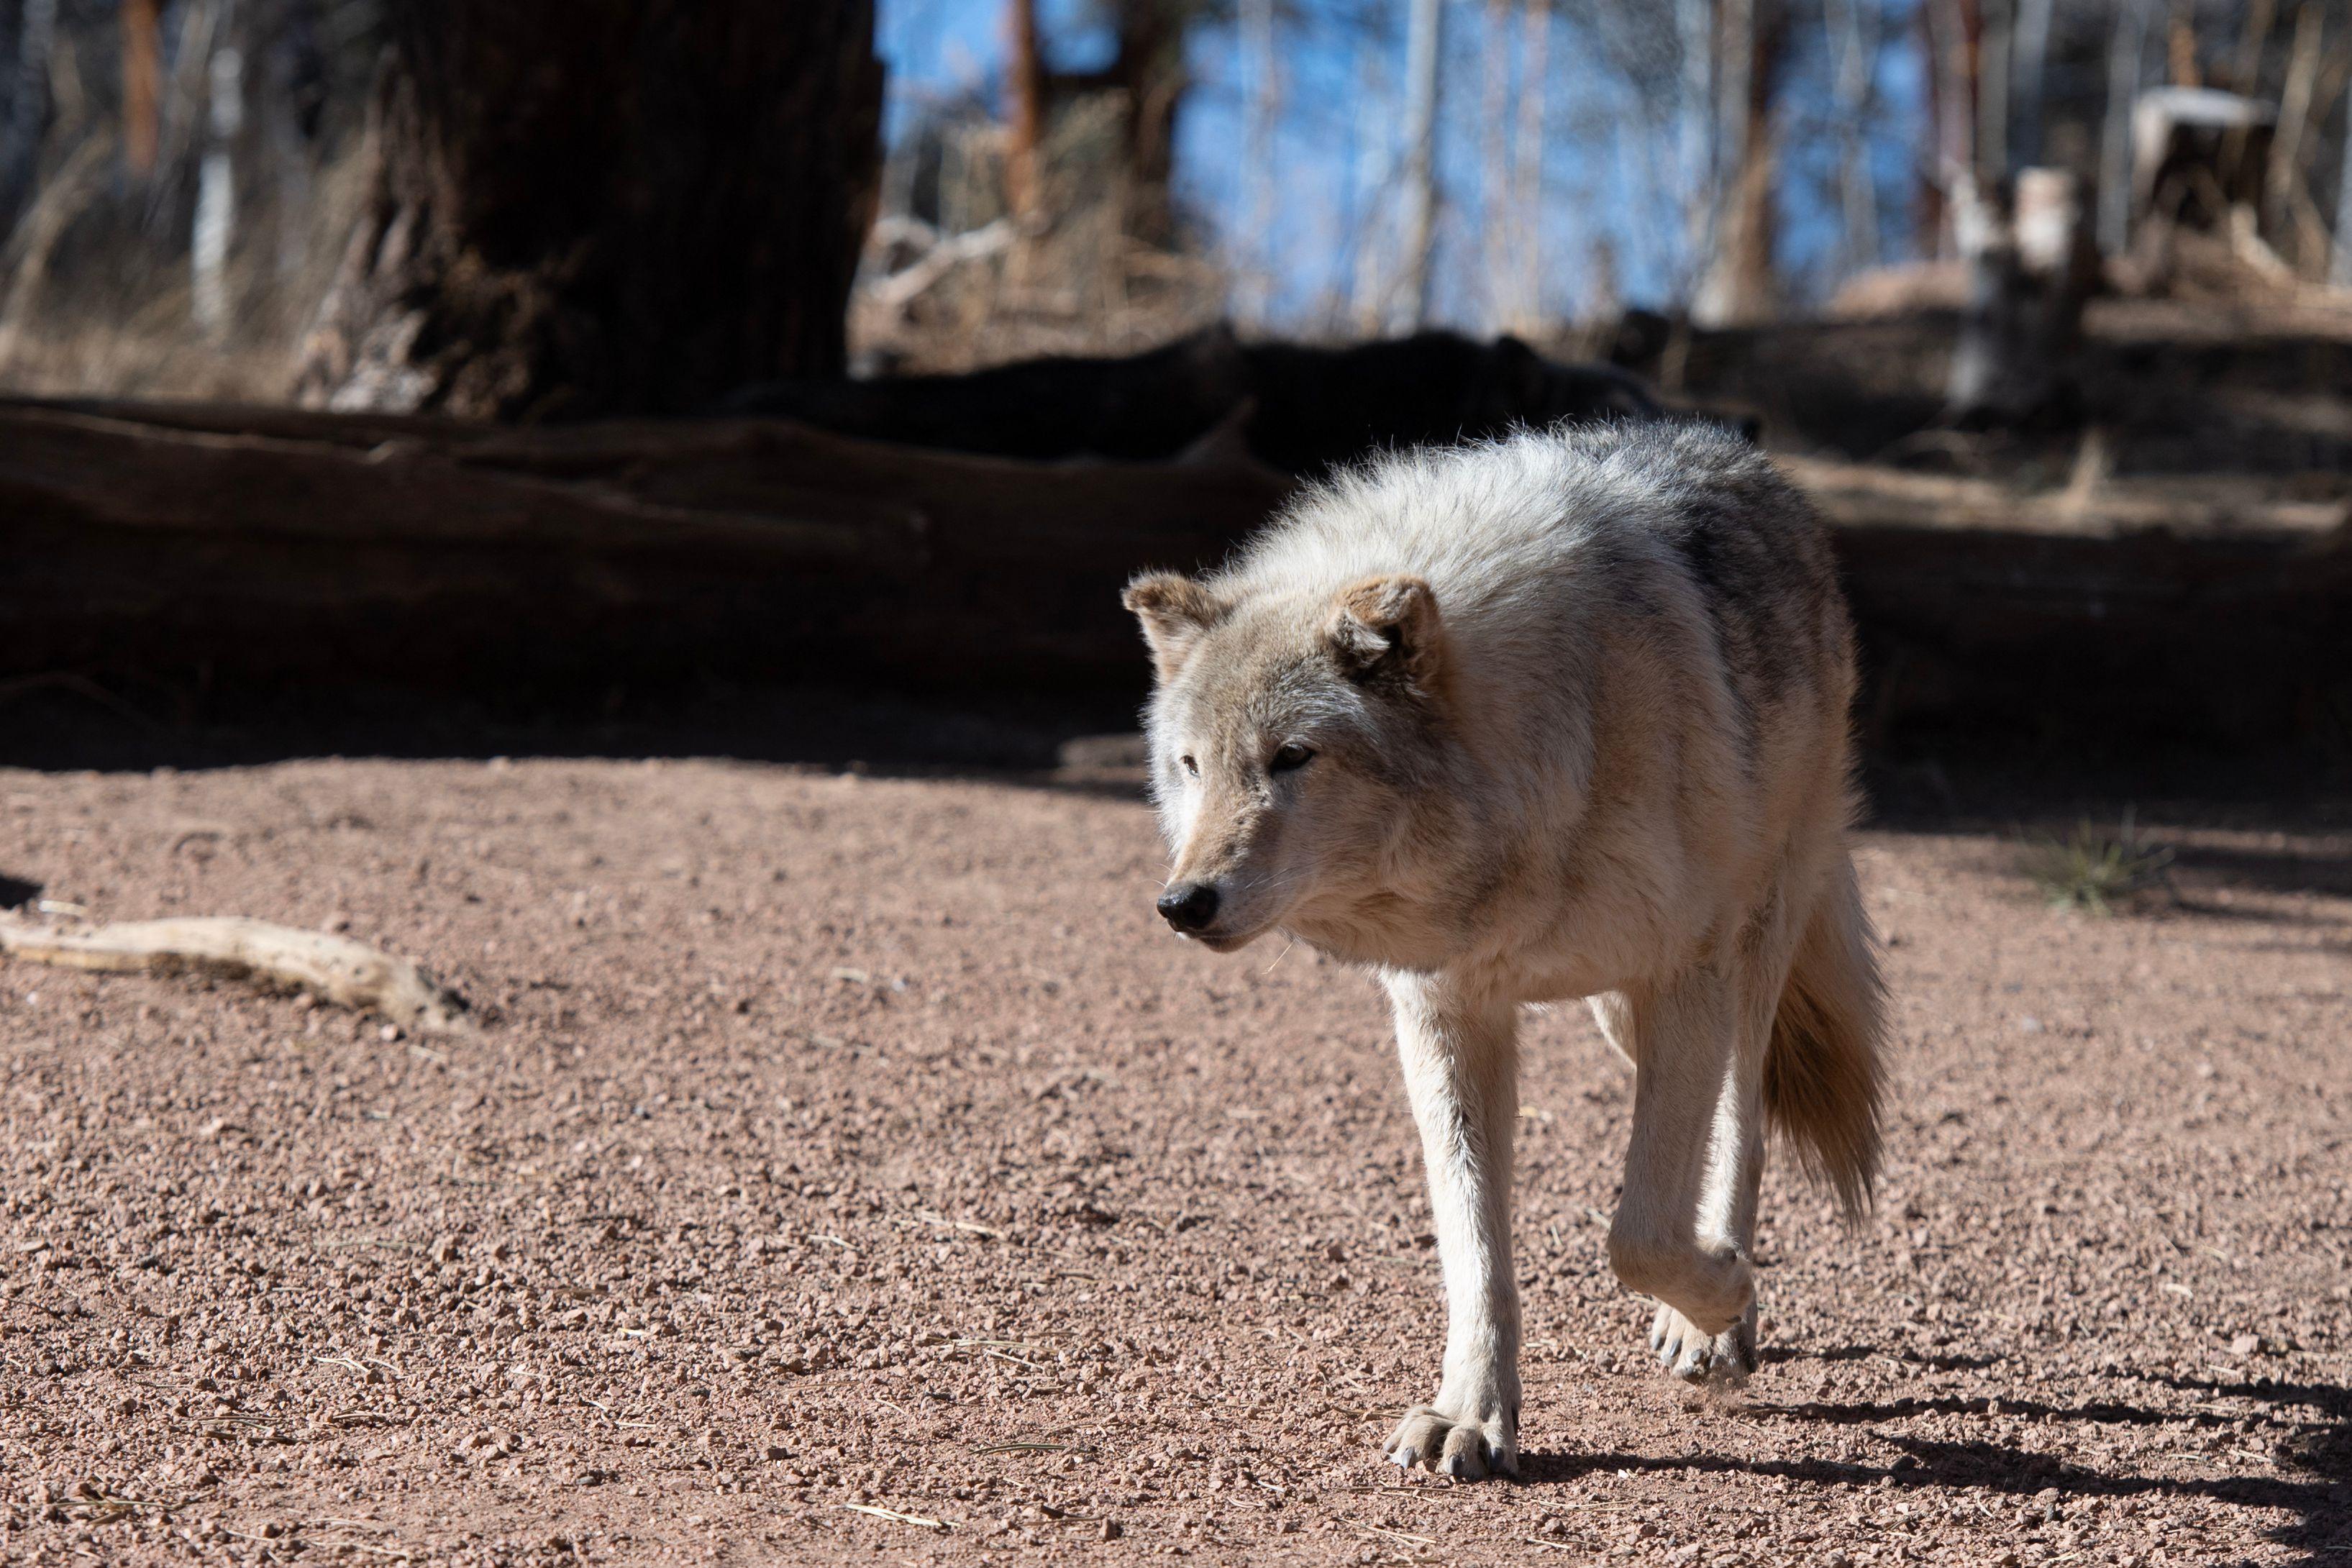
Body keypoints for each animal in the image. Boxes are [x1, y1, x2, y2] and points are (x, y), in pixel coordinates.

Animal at [1123, 421, 1884, 1480]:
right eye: (1192, 765)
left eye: (1291, 757)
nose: (1181, 903)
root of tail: (1736, 450)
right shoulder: (1446, 1012)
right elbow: (1474, 1250)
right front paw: (1472, 1416)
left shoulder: (1681, 976)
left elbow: (1636, 1232)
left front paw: (1724, 1293)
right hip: (1619, 1018)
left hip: (1742, 958)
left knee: (1744, 1126)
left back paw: (1714, 1324)